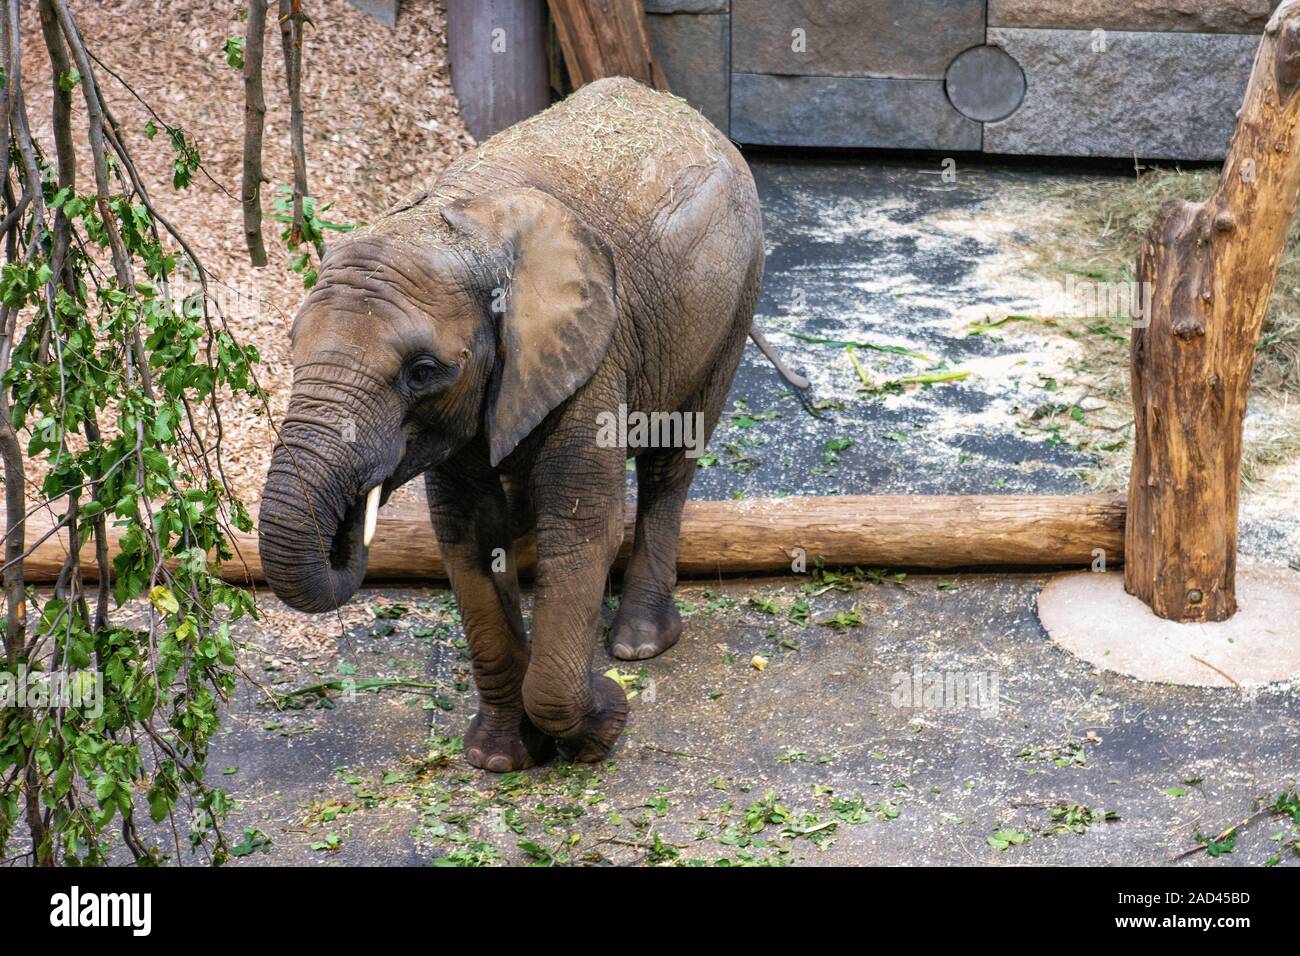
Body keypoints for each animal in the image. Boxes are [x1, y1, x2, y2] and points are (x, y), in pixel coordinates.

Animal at [258, 77, 804, 772]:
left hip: (734, 299)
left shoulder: (593, 354)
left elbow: (581, 526)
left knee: (670, 459)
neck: (457, 225)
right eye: (291, 347)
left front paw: (603, 717)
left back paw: (637, 644)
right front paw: (499, 757)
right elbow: (467, 532)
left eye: (422, 371)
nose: (351, 522)